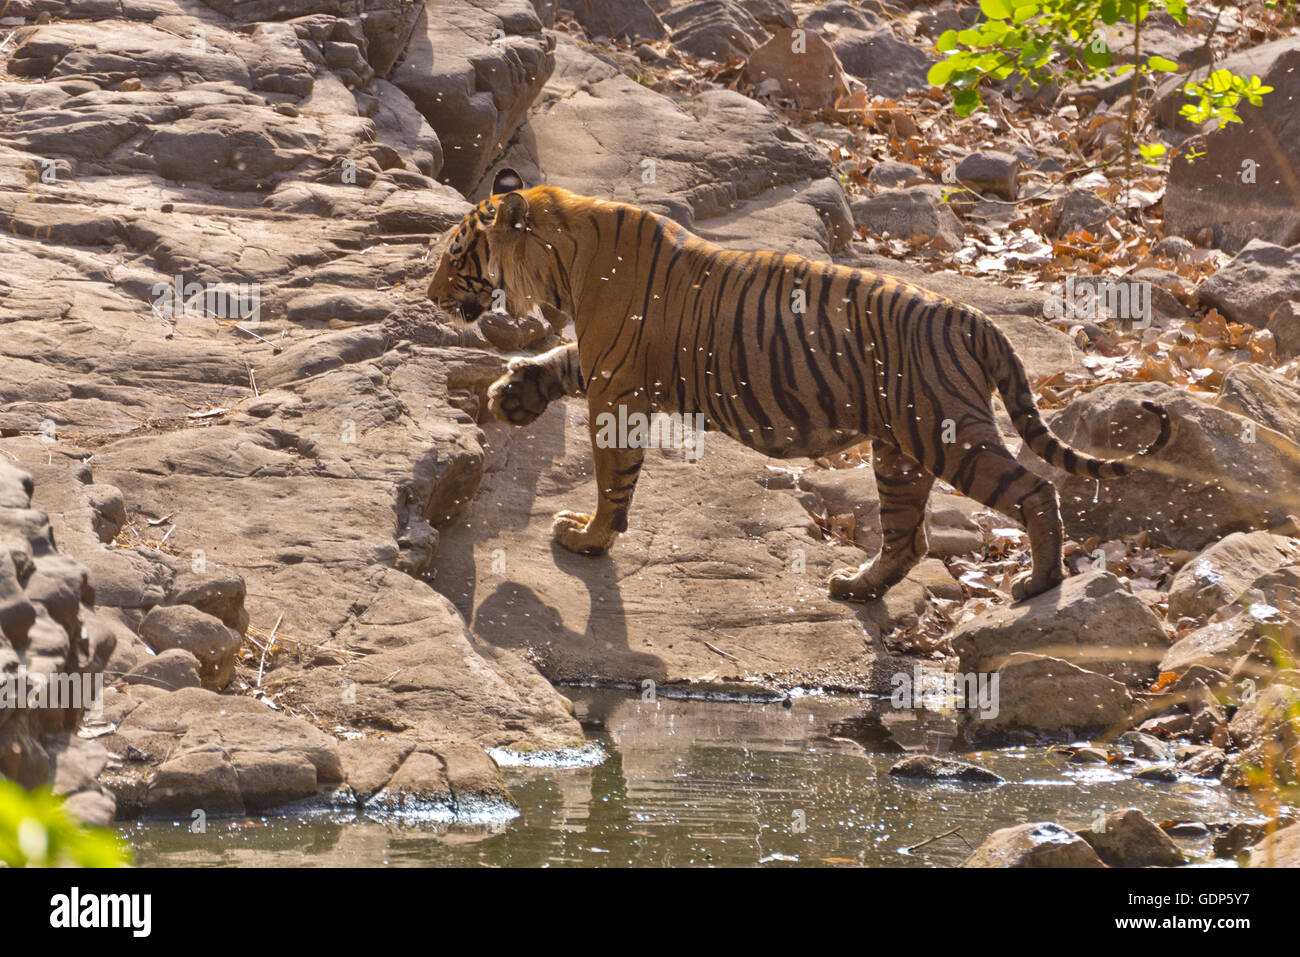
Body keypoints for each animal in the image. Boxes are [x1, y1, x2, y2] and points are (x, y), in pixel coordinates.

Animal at [427, 169, 1172, 603]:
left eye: (454, 254)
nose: (430, 294)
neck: (561, 256)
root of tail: (972, 316)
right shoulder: (612, 364)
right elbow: (558, 360)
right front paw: (511, 395)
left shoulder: (617, 384)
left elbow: (615, 476)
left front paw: (588, 537)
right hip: (900, 449)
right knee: (909, 538)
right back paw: (856, 584)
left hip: (948, 434)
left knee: (1035, 490)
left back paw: (1038, 582)